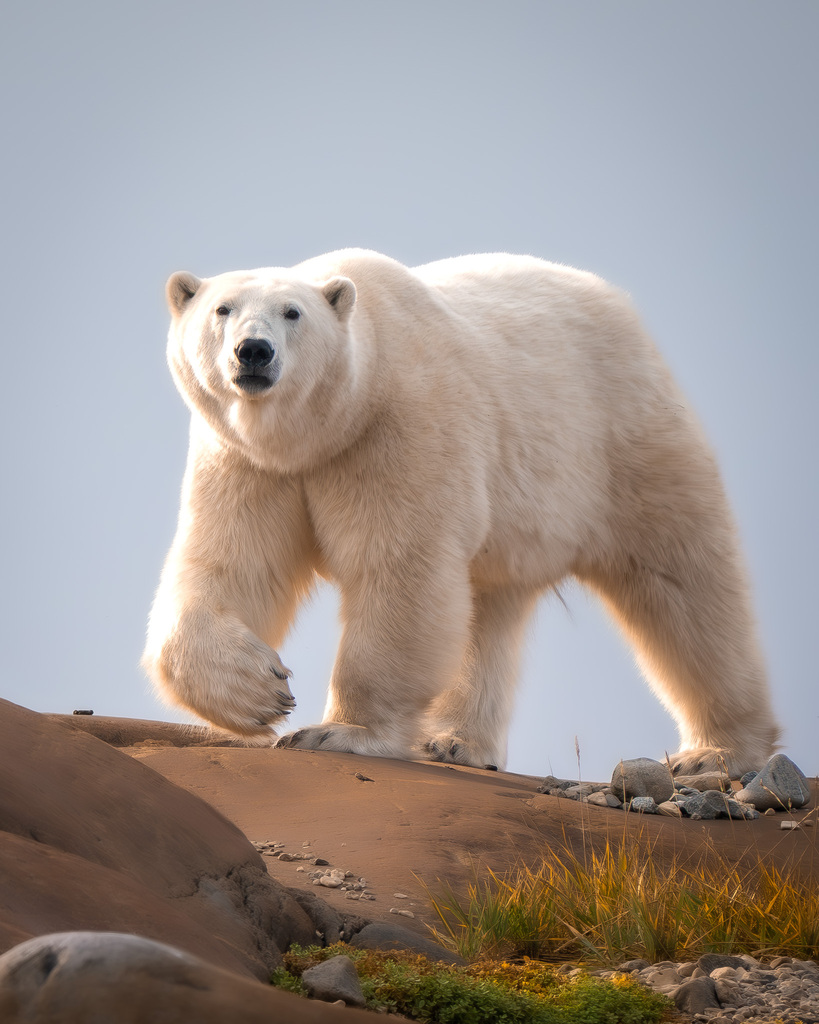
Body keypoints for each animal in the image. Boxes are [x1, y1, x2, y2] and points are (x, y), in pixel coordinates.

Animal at [142, 248, 780, 777]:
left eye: (292, 312)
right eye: (222, 308)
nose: (253, 351)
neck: (327, 426)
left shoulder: (401, 427)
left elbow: (401, 570)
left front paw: (336, 731)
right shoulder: (250, 464)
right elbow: (233, 567)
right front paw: (260, 694)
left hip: (623, 440)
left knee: (682, 586)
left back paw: (717, 752)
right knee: (488, 609)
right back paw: (454, 742)